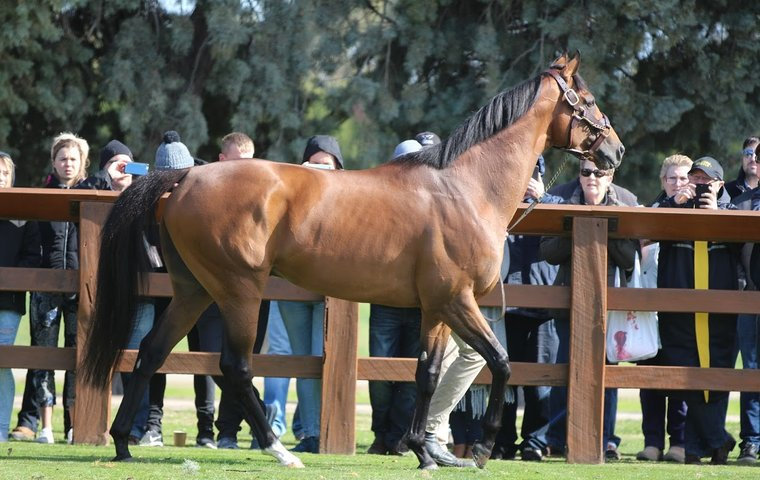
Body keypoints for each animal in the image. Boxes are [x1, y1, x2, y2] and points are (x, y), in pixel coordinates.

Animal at [80, 52, 624, 469]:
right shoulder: (457, 301)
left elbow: (427, 374)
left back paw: (123, 443)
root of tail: (187, 177)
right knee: (233, 366)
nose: (615, 152)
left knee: (151, 352)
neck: (466, 188)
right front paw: (482, 449)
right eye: (589, 102)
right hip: (238, 291)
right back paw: (281, 452)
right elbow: (503, 363)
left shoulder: (435, 307)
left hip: (193, 290)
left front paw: (422, 452)